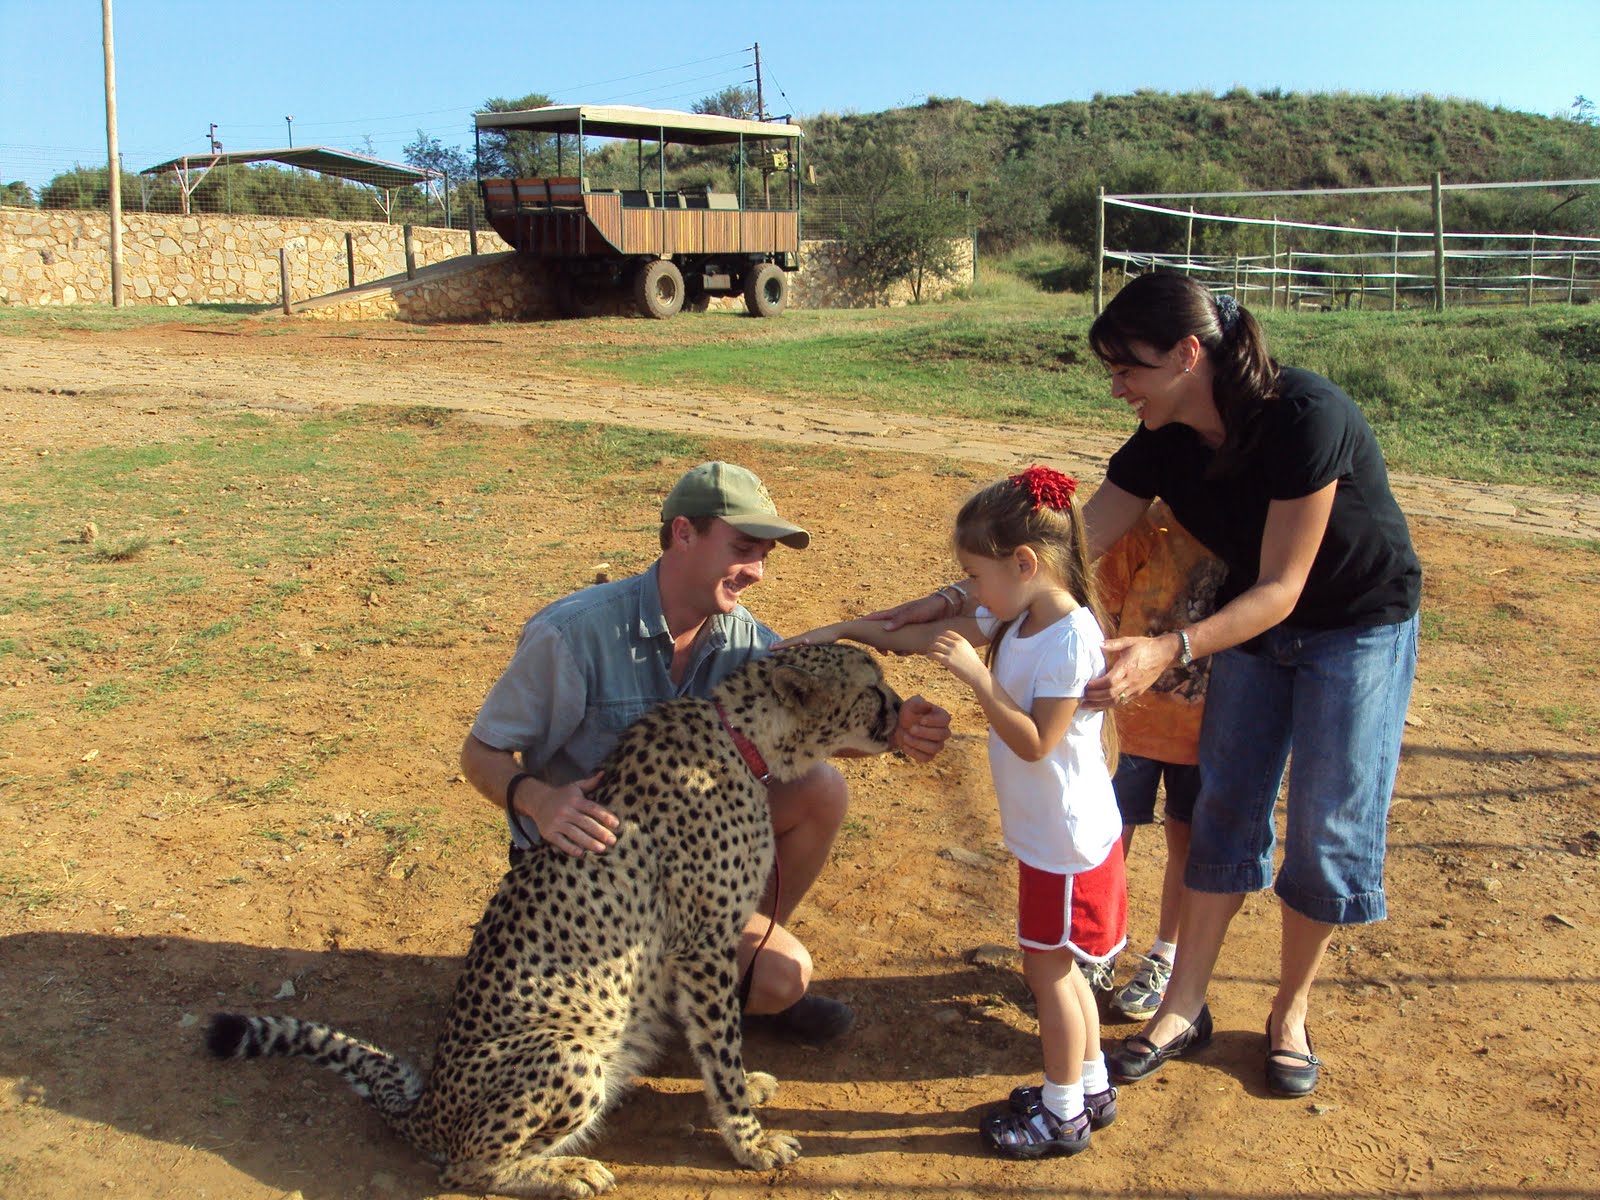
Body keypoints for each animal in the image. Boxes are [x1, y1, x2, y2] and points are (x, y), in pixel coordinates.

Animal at [206, 643, 902, 1199]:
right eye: (871, 687)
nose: (900, 710)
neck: (743, 735)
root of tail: (426, 1103)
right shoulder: (702, 944)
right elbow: (720, 1049)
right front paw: (750, 1143)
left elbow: (717, 1045)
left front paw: (747, 1092)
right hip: (568, 1051)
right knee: (464, 1169)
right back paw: (569, 1173)